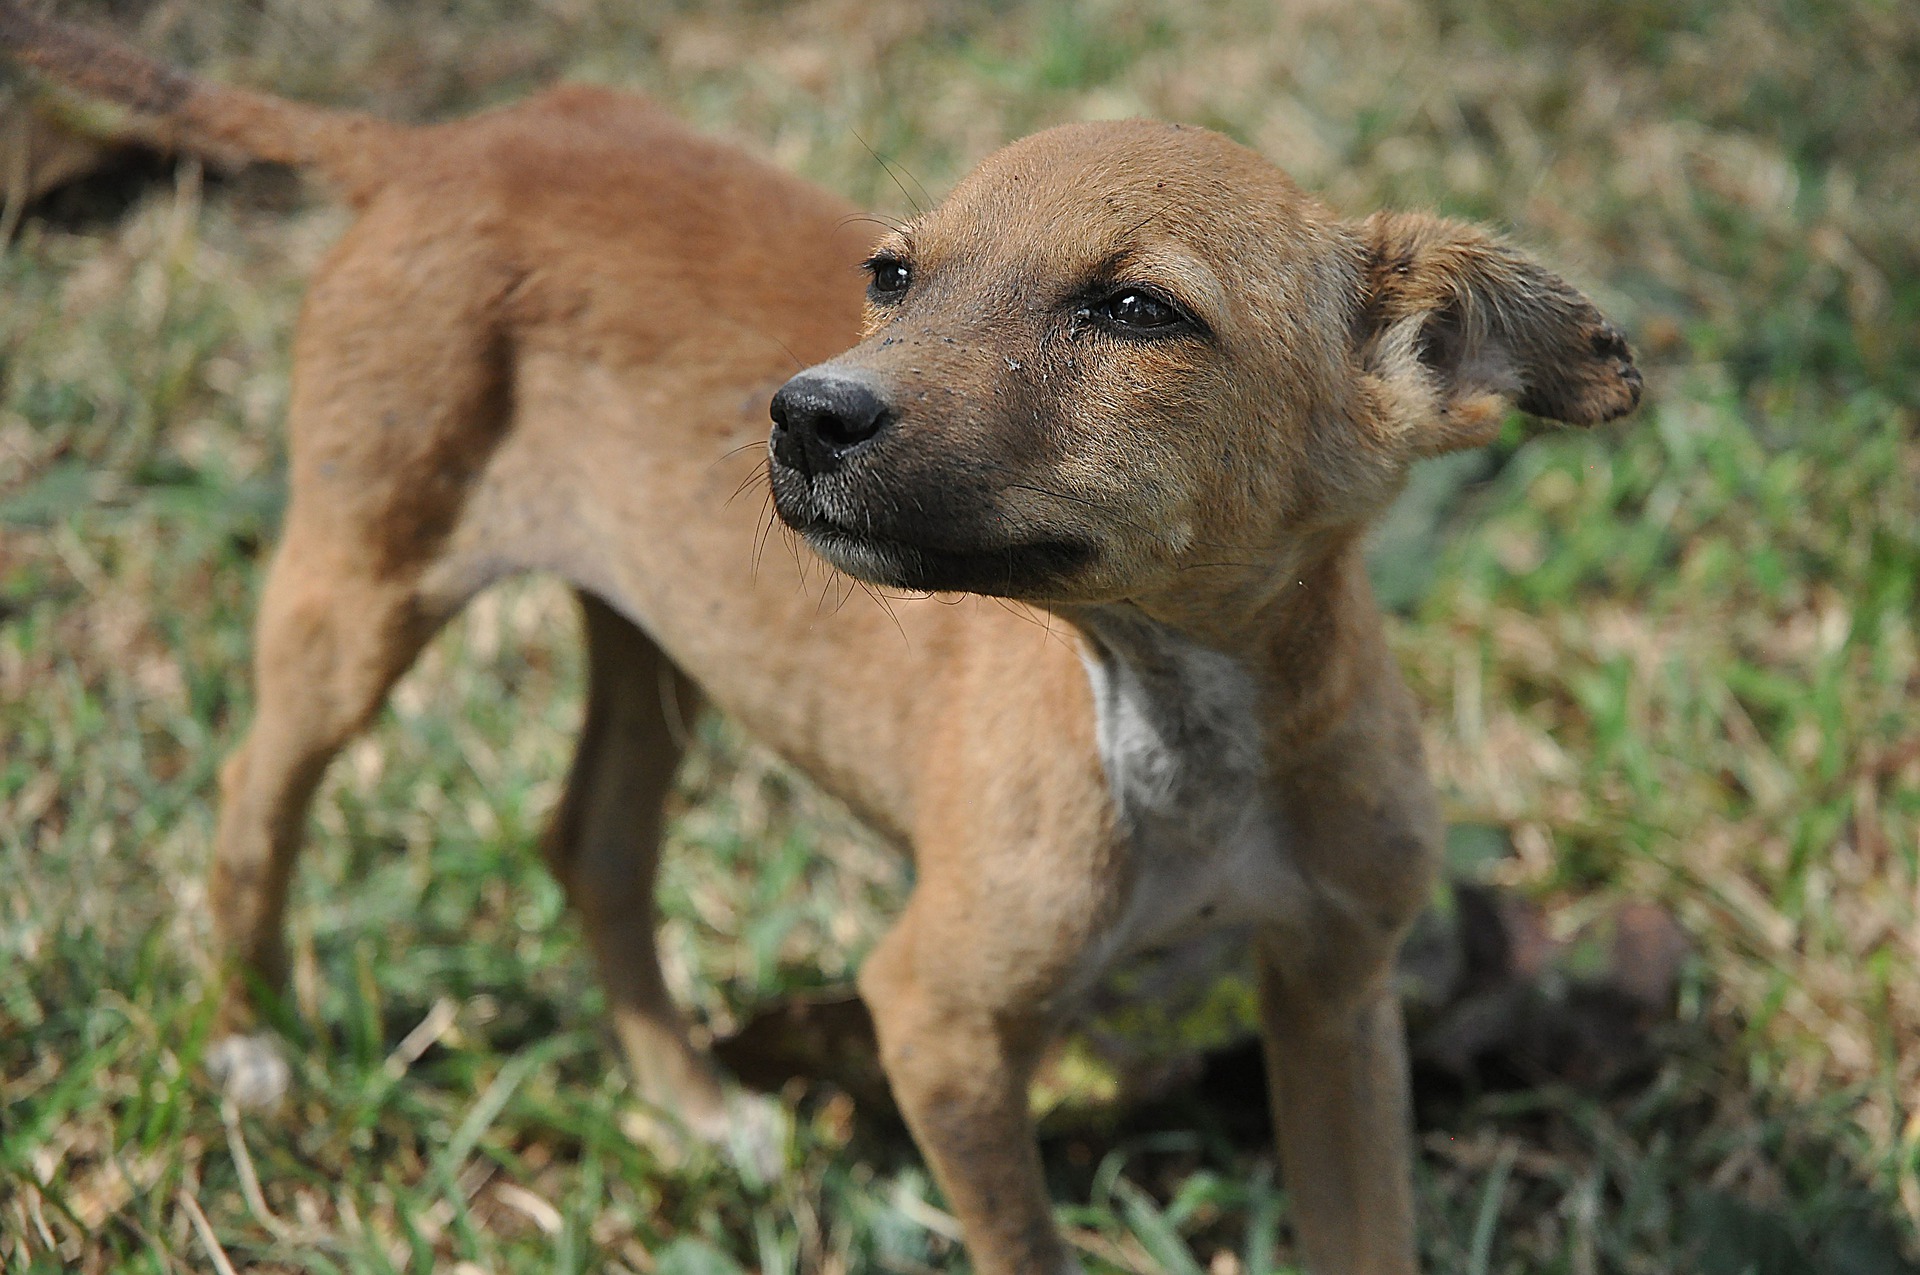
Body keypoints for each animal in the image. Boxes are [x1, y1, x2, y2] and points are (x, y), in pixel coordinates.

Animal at [3, 4, 1635, 1267]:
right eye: (892, 274)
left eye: (1137, 310)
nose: (805, 414)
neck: (1176, 715)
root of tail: (440, 144)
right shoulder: (933, 1019)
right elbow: (1023, 1242)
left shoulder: (1339, 997)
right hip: (360, 584)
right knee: (253, 798)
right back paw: (248, 1039)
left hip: (653, 629)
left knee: (592, 844)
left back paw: (693, 1107)